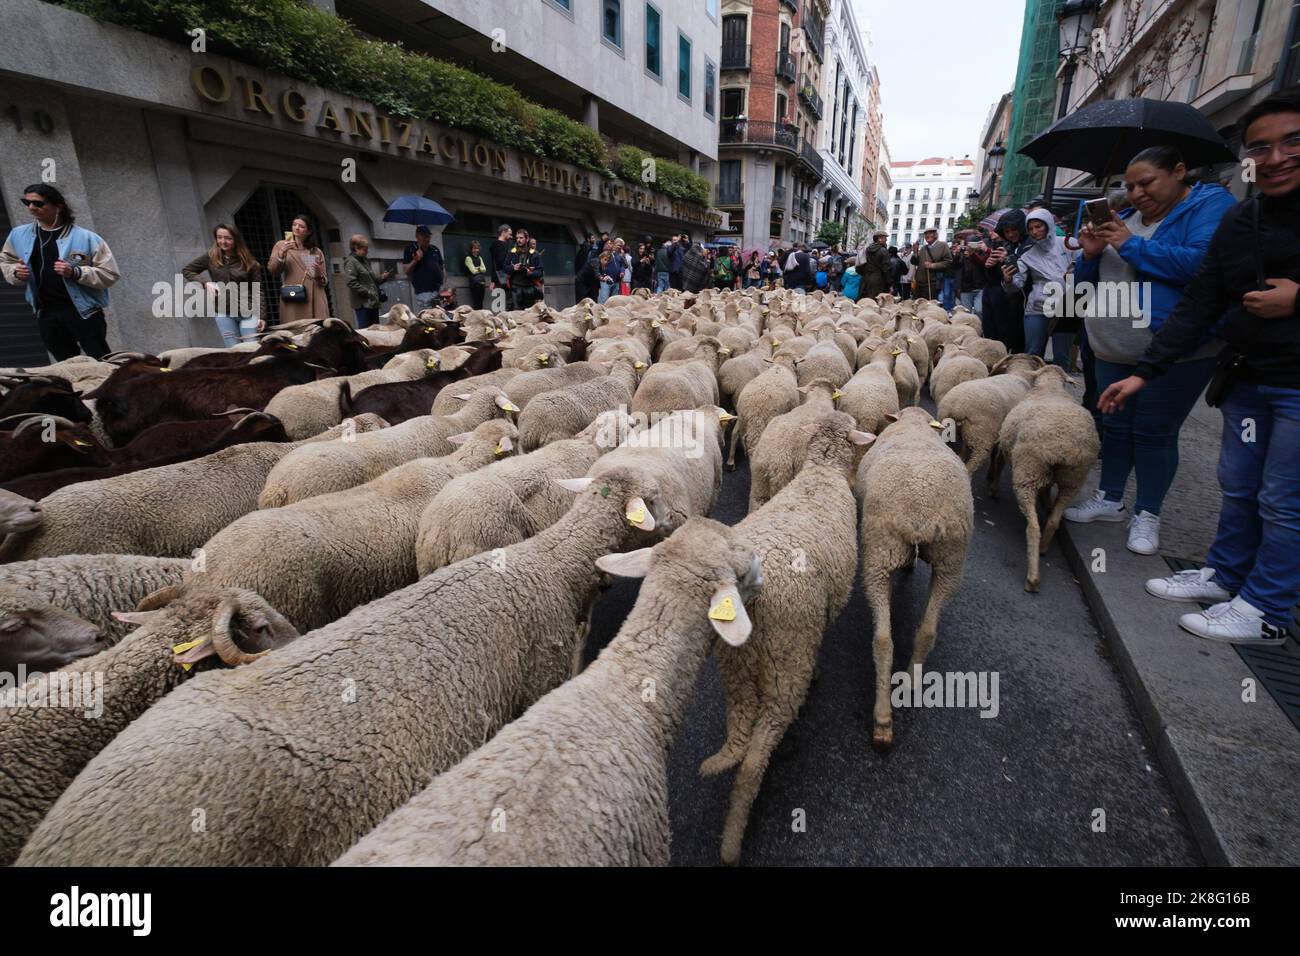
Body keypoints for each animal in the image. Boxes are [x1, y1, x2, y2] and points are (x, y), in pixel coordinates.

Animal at [705, 413, 871, 865]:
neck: (821, 472)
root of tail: (747, 591)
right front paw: (819, 675)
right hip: (786, 656)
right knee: (757, 753)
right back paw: (732, 842)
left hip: (736, 663)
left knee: (740, 730)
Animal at [854, 407, 973, 752]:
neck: (915, 423)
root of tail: (920, 513)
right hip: (950, 560)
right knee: (925, 631)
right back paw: (907, 687)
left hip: (882, 555)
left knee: (883, 639)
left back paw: (883, 719)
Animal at [991, 365, 1100, 592]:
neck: (1050, 387)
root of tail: (1062, 447)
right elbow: (1047, 489)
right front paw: (1047, 499)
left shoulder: (1006, 446)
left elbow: (998, 464)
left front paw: (994, 489)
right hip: (1073, 479)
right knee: (1054, 520)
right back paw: (1043, 547)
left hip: (1027, 471)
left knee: (1033, 527)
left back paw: (1032, 579)